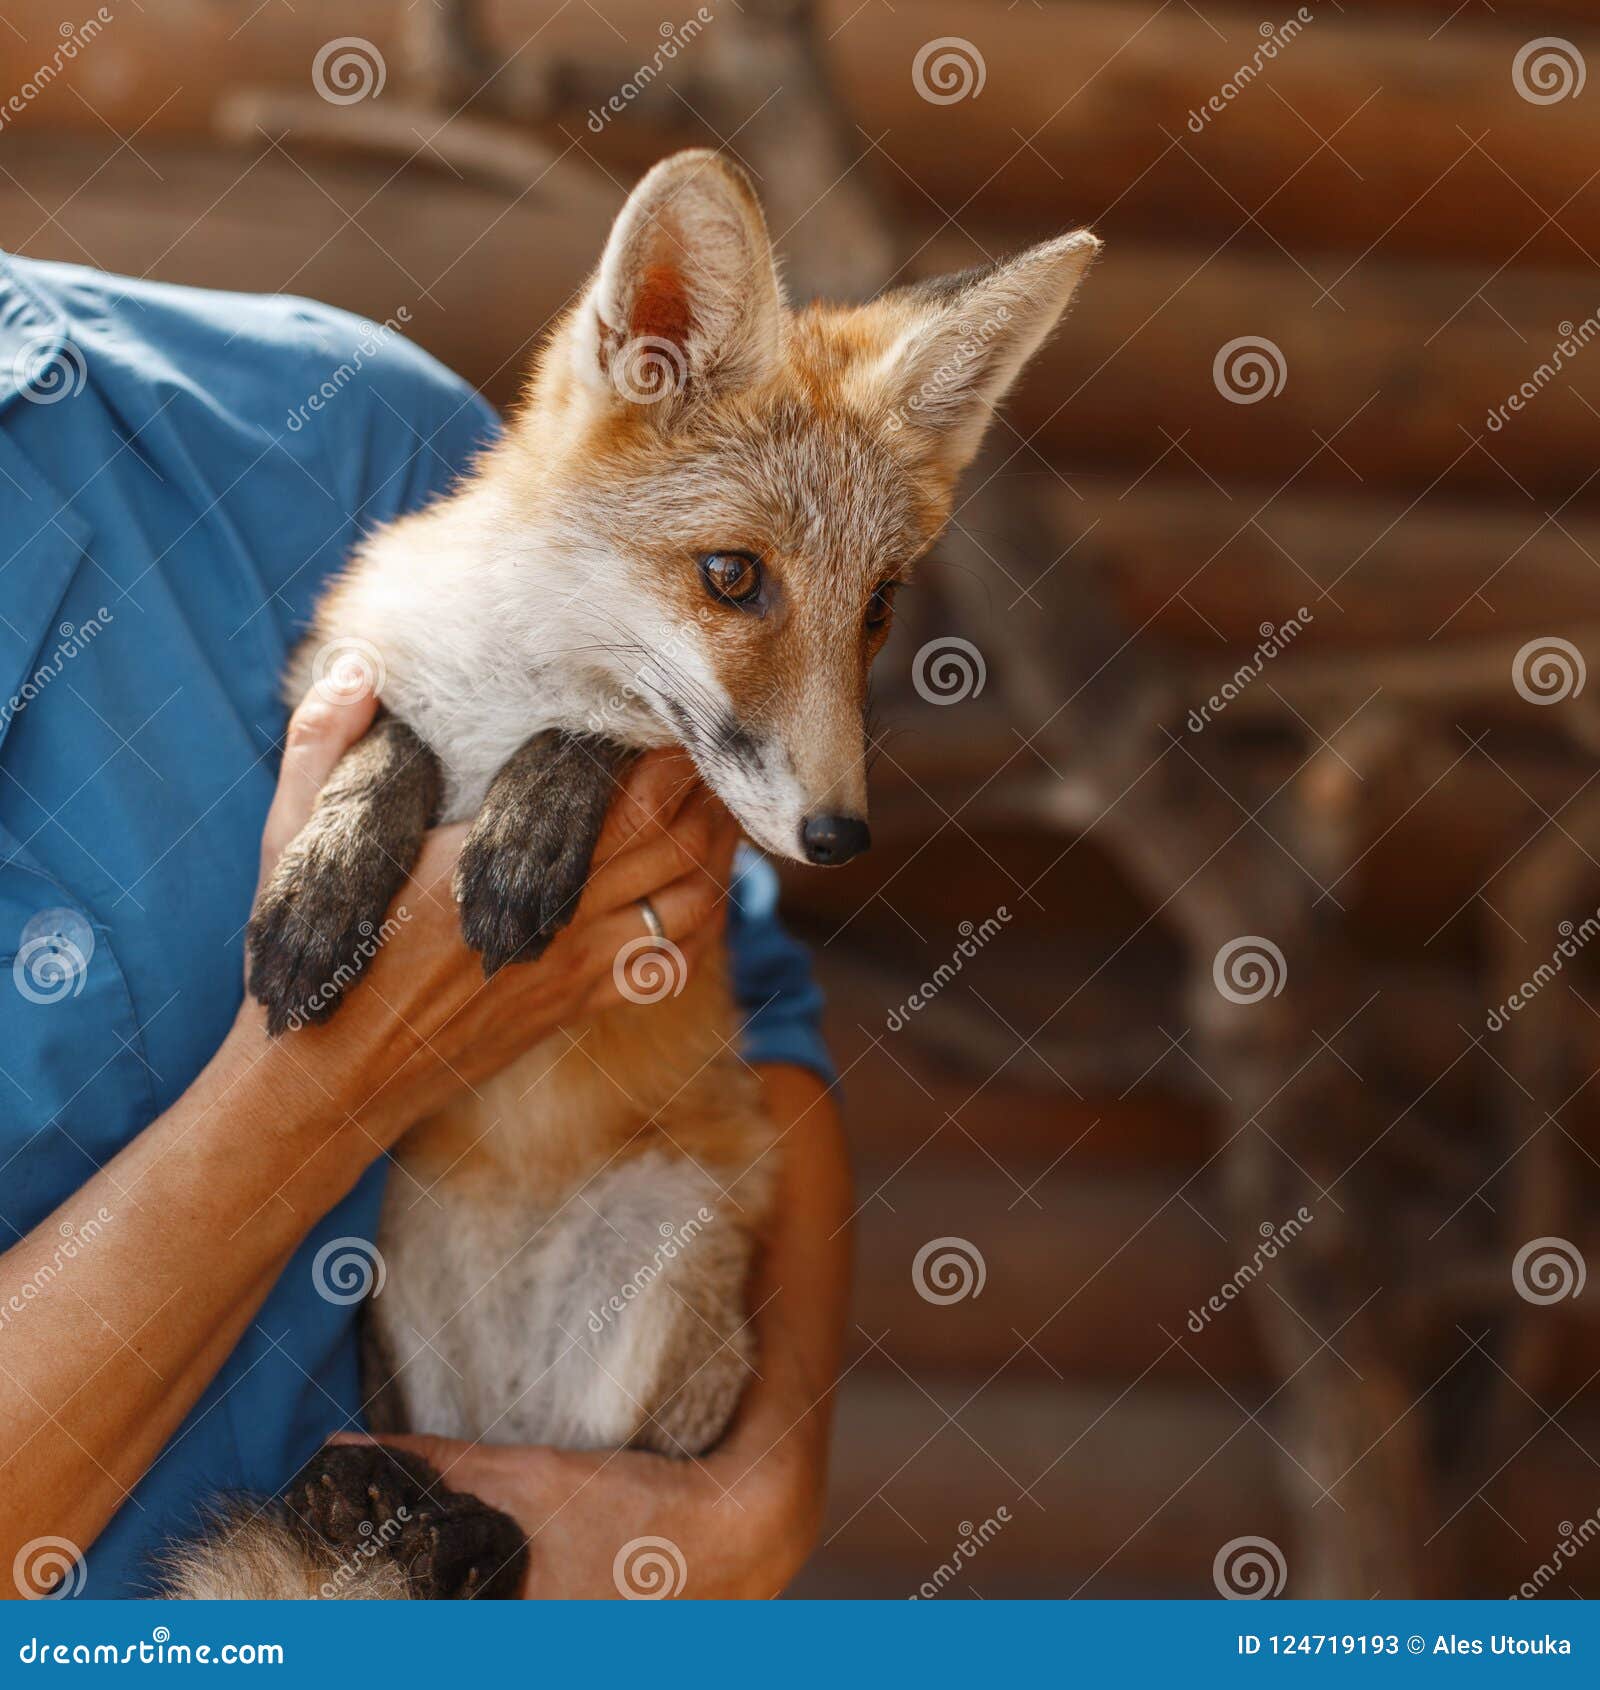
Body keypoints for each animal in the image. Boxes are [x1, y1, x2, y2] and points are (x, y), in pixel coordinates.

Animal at [161, 150, 1098, 1599]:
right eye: (732, 576)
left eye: (880, 609)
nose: (840, 836)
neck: (512, 675)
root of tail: (506, 1408)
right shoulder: (342, 663)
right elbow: (391, 745)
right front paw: (323, 893)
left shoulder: (648, 762)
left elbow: (605, 731)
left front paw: (531, 825)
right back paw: (374, 1500)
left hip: (662, 1272)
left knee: (573, 1500)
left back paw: (453, 1525)